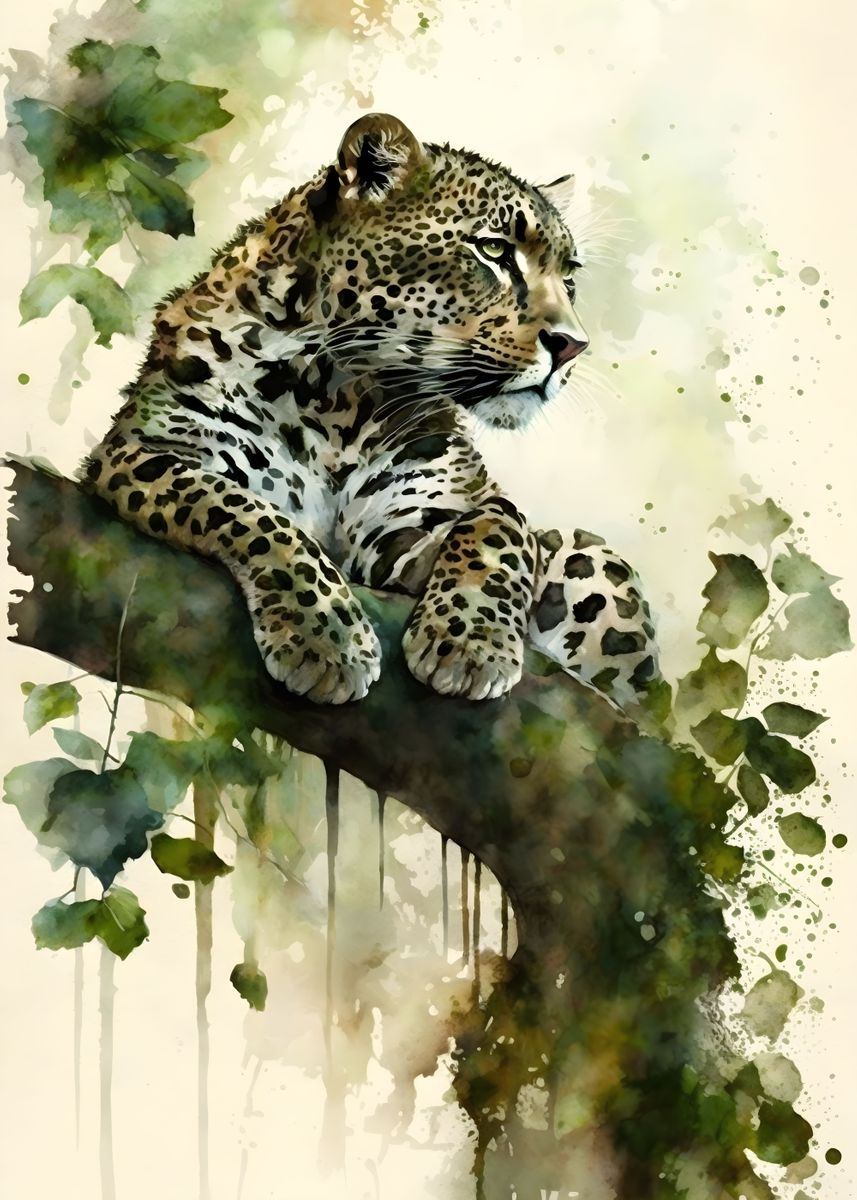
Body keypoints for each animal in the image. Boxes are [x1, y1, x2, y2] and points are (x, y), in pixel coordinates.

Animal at [82, 113, 659, 708]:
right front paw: (328, 639)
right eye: (494, 251)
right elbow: (249, 512)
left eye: (568, 278)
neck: (342, 395)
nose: (573, 345)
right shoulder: (144, 448)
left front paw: (473, 643)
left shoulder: (414, 526)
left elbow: (502, 528)